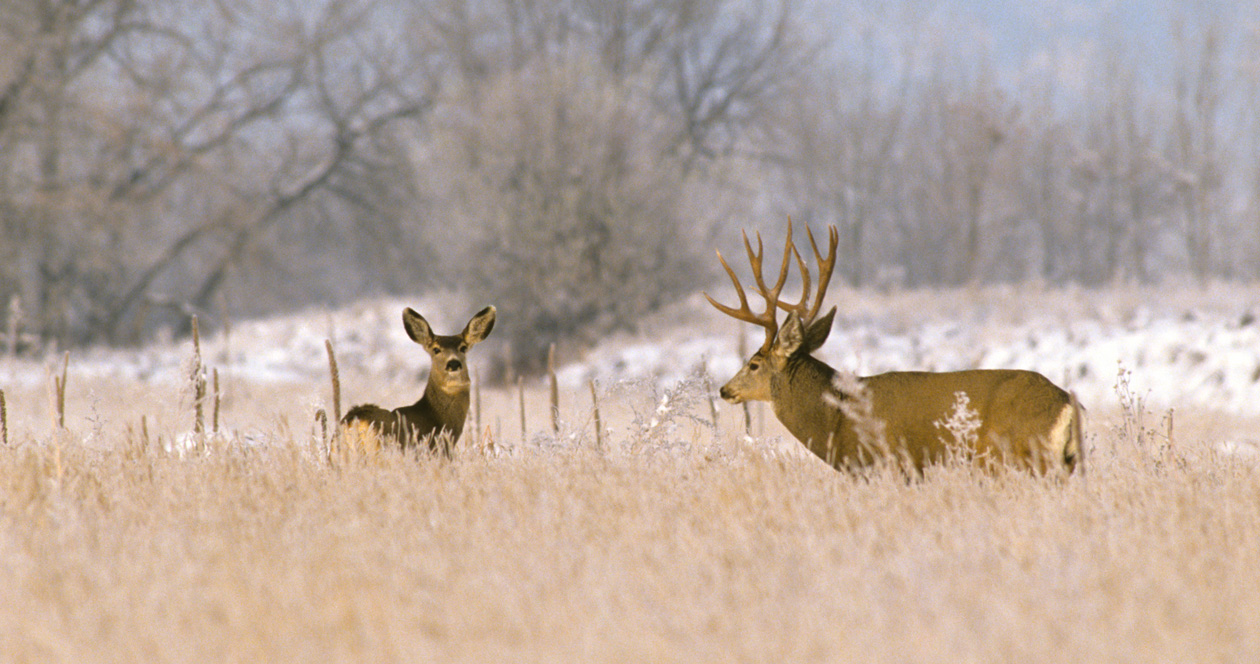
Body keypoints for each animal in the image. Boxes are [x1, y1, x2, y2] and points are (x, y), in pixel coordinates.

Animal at [706, 219, 1082, 475]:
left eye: (754, 363)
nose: (724, 390)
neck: (837, 418)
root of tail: (1066, 404)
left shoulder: (886, 466)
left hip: (1022, 458)